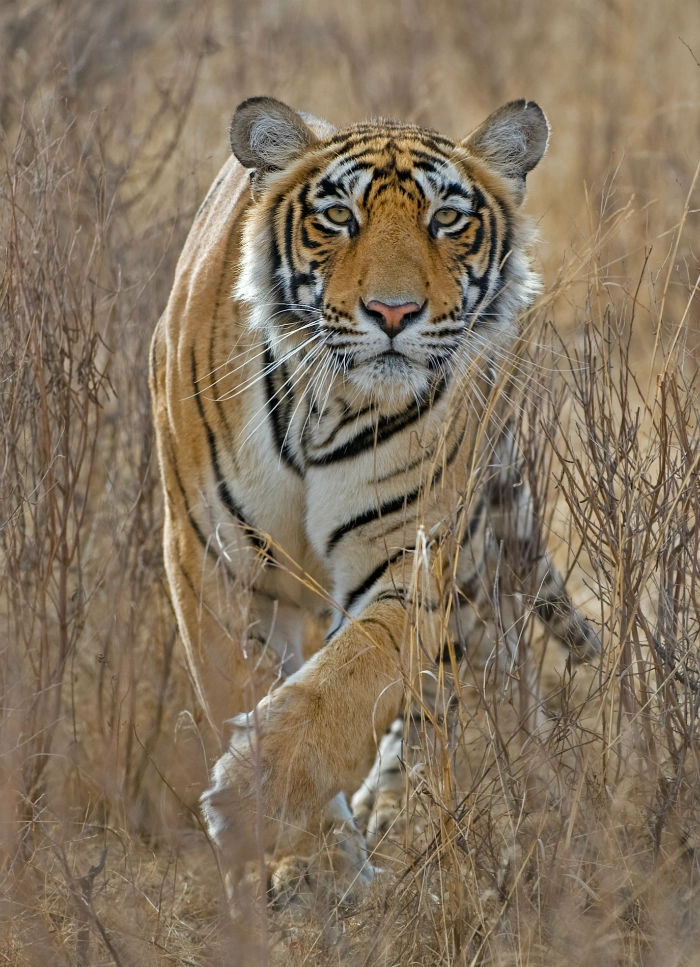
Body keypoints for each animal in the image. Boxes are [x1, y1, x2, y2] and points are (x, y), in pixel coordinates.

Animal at [149, 95, 599, 906]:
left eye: (447, 219)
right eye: (339, 215)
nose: (393, 313)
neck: (327, 406)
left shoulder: (409, 558)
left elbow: (346, 682)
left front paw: (262, 799)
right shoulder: (213, 561)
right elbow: (246, 683)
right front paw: (301, 857)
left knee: (440, 695)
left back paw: (402, 810)